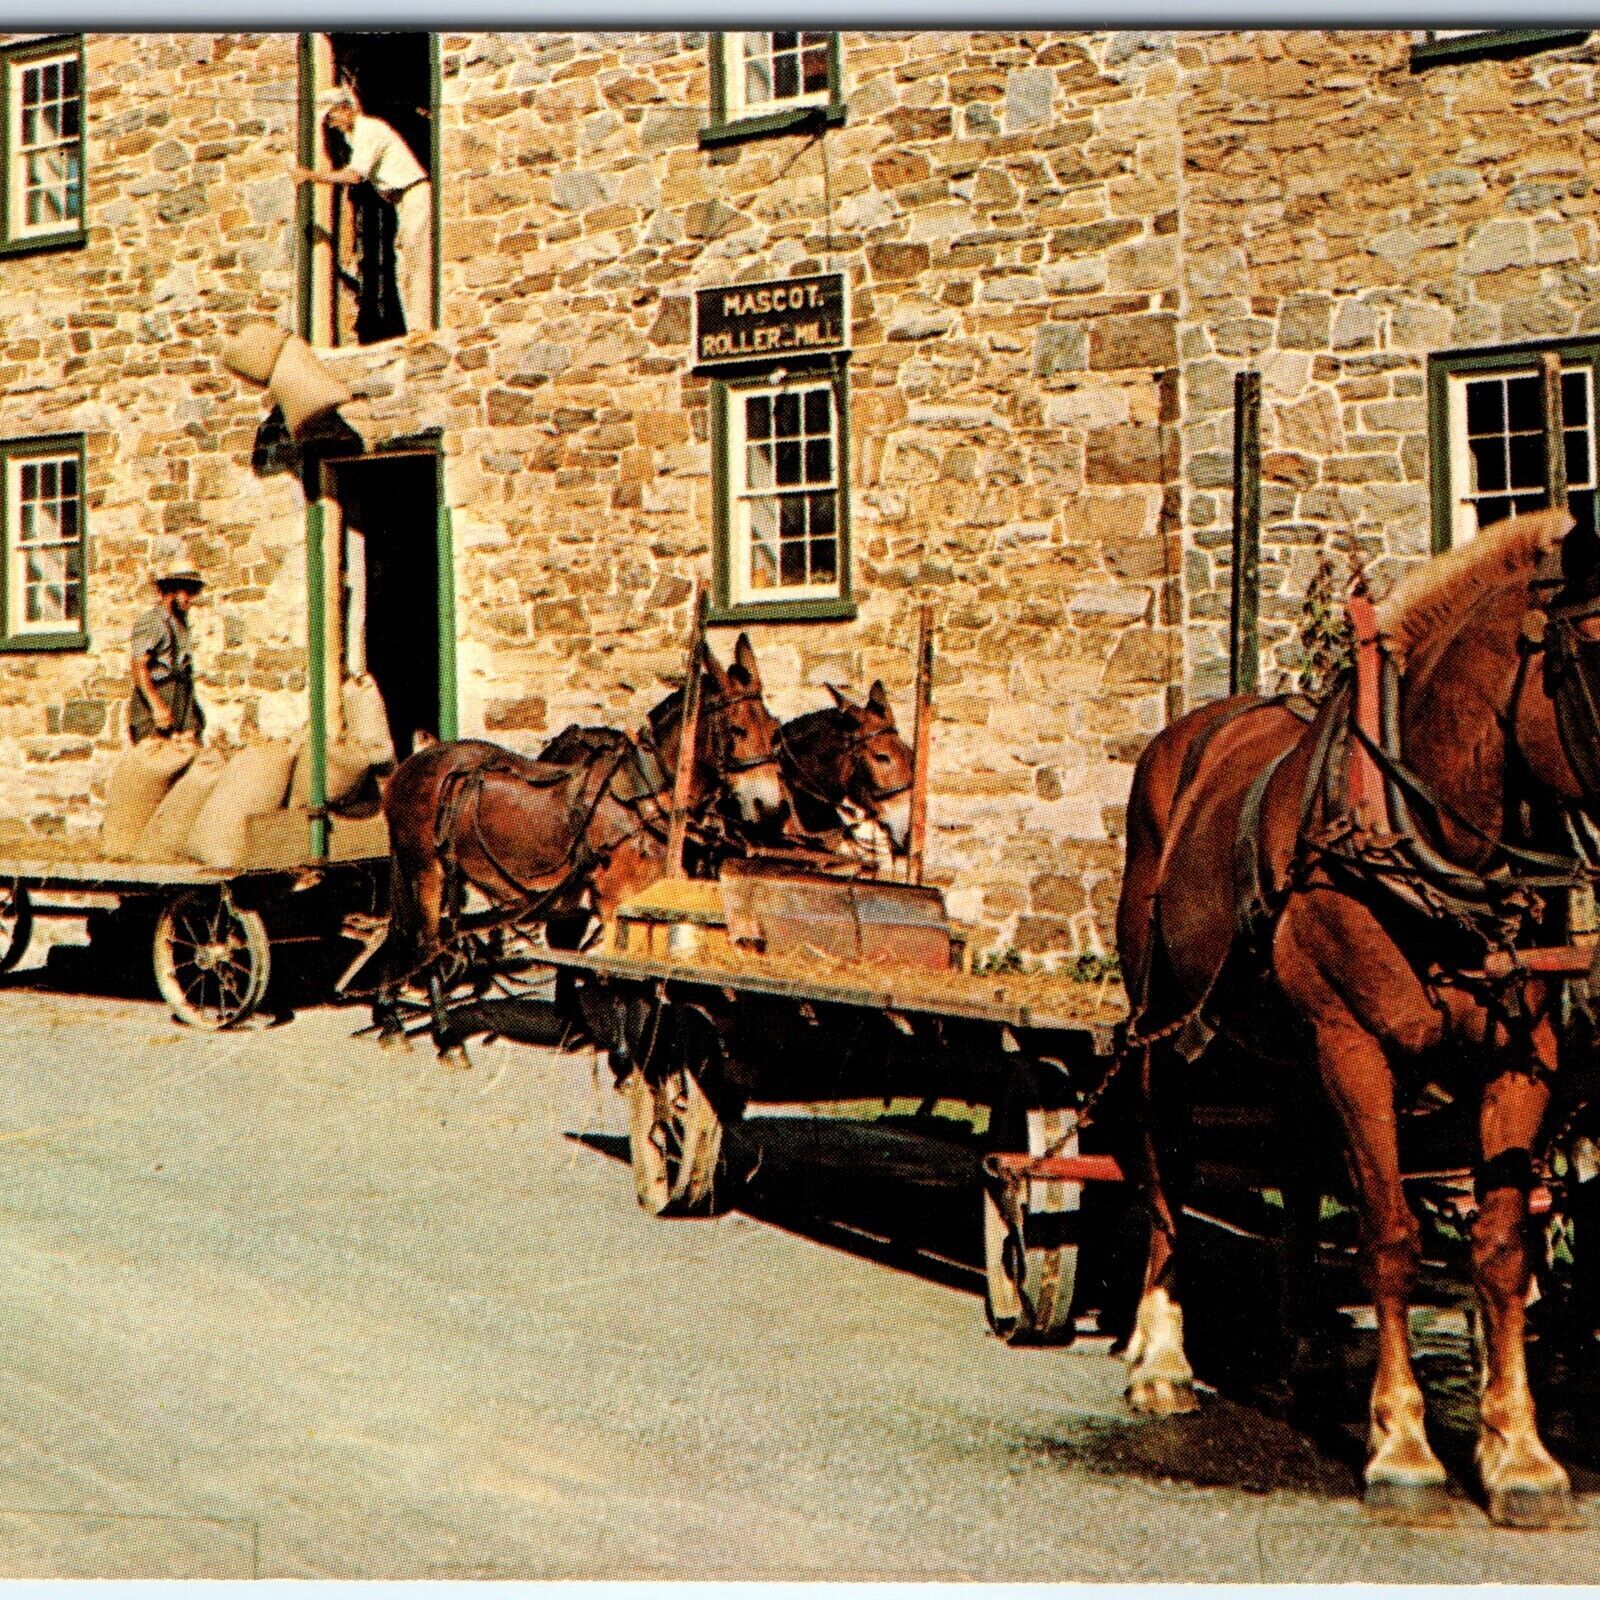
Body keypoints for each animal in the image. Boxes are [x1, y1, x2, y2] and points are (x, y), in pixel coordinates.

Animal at [369, 633, 790, 1063]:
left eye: (774, 730)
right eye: (737, 731)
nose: (772, 808)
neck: (643, 796)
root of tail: (411, 764)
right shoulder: (614, 897)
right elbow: (622, 976)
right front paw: (624, 1056)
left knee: (403, 930)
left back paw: (390, 1019)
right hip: (425, 870)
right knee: (427, 942)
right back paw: (445, 1037)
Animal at [1116, 506, 1591, 1528]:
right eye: (1599, 649)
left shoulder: (1519, 1055)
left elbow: (1502, 1244)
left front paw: (1518, 1452)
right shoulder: (1357, 1047)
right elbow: (1391, 1234)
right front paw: (1404, 1444)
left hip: (1288, 1045)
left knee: (1297, 1160)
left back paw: (1300, 1343)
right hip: (1166, 1027)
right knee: (1167, 1165)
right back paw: (1161, 1354)